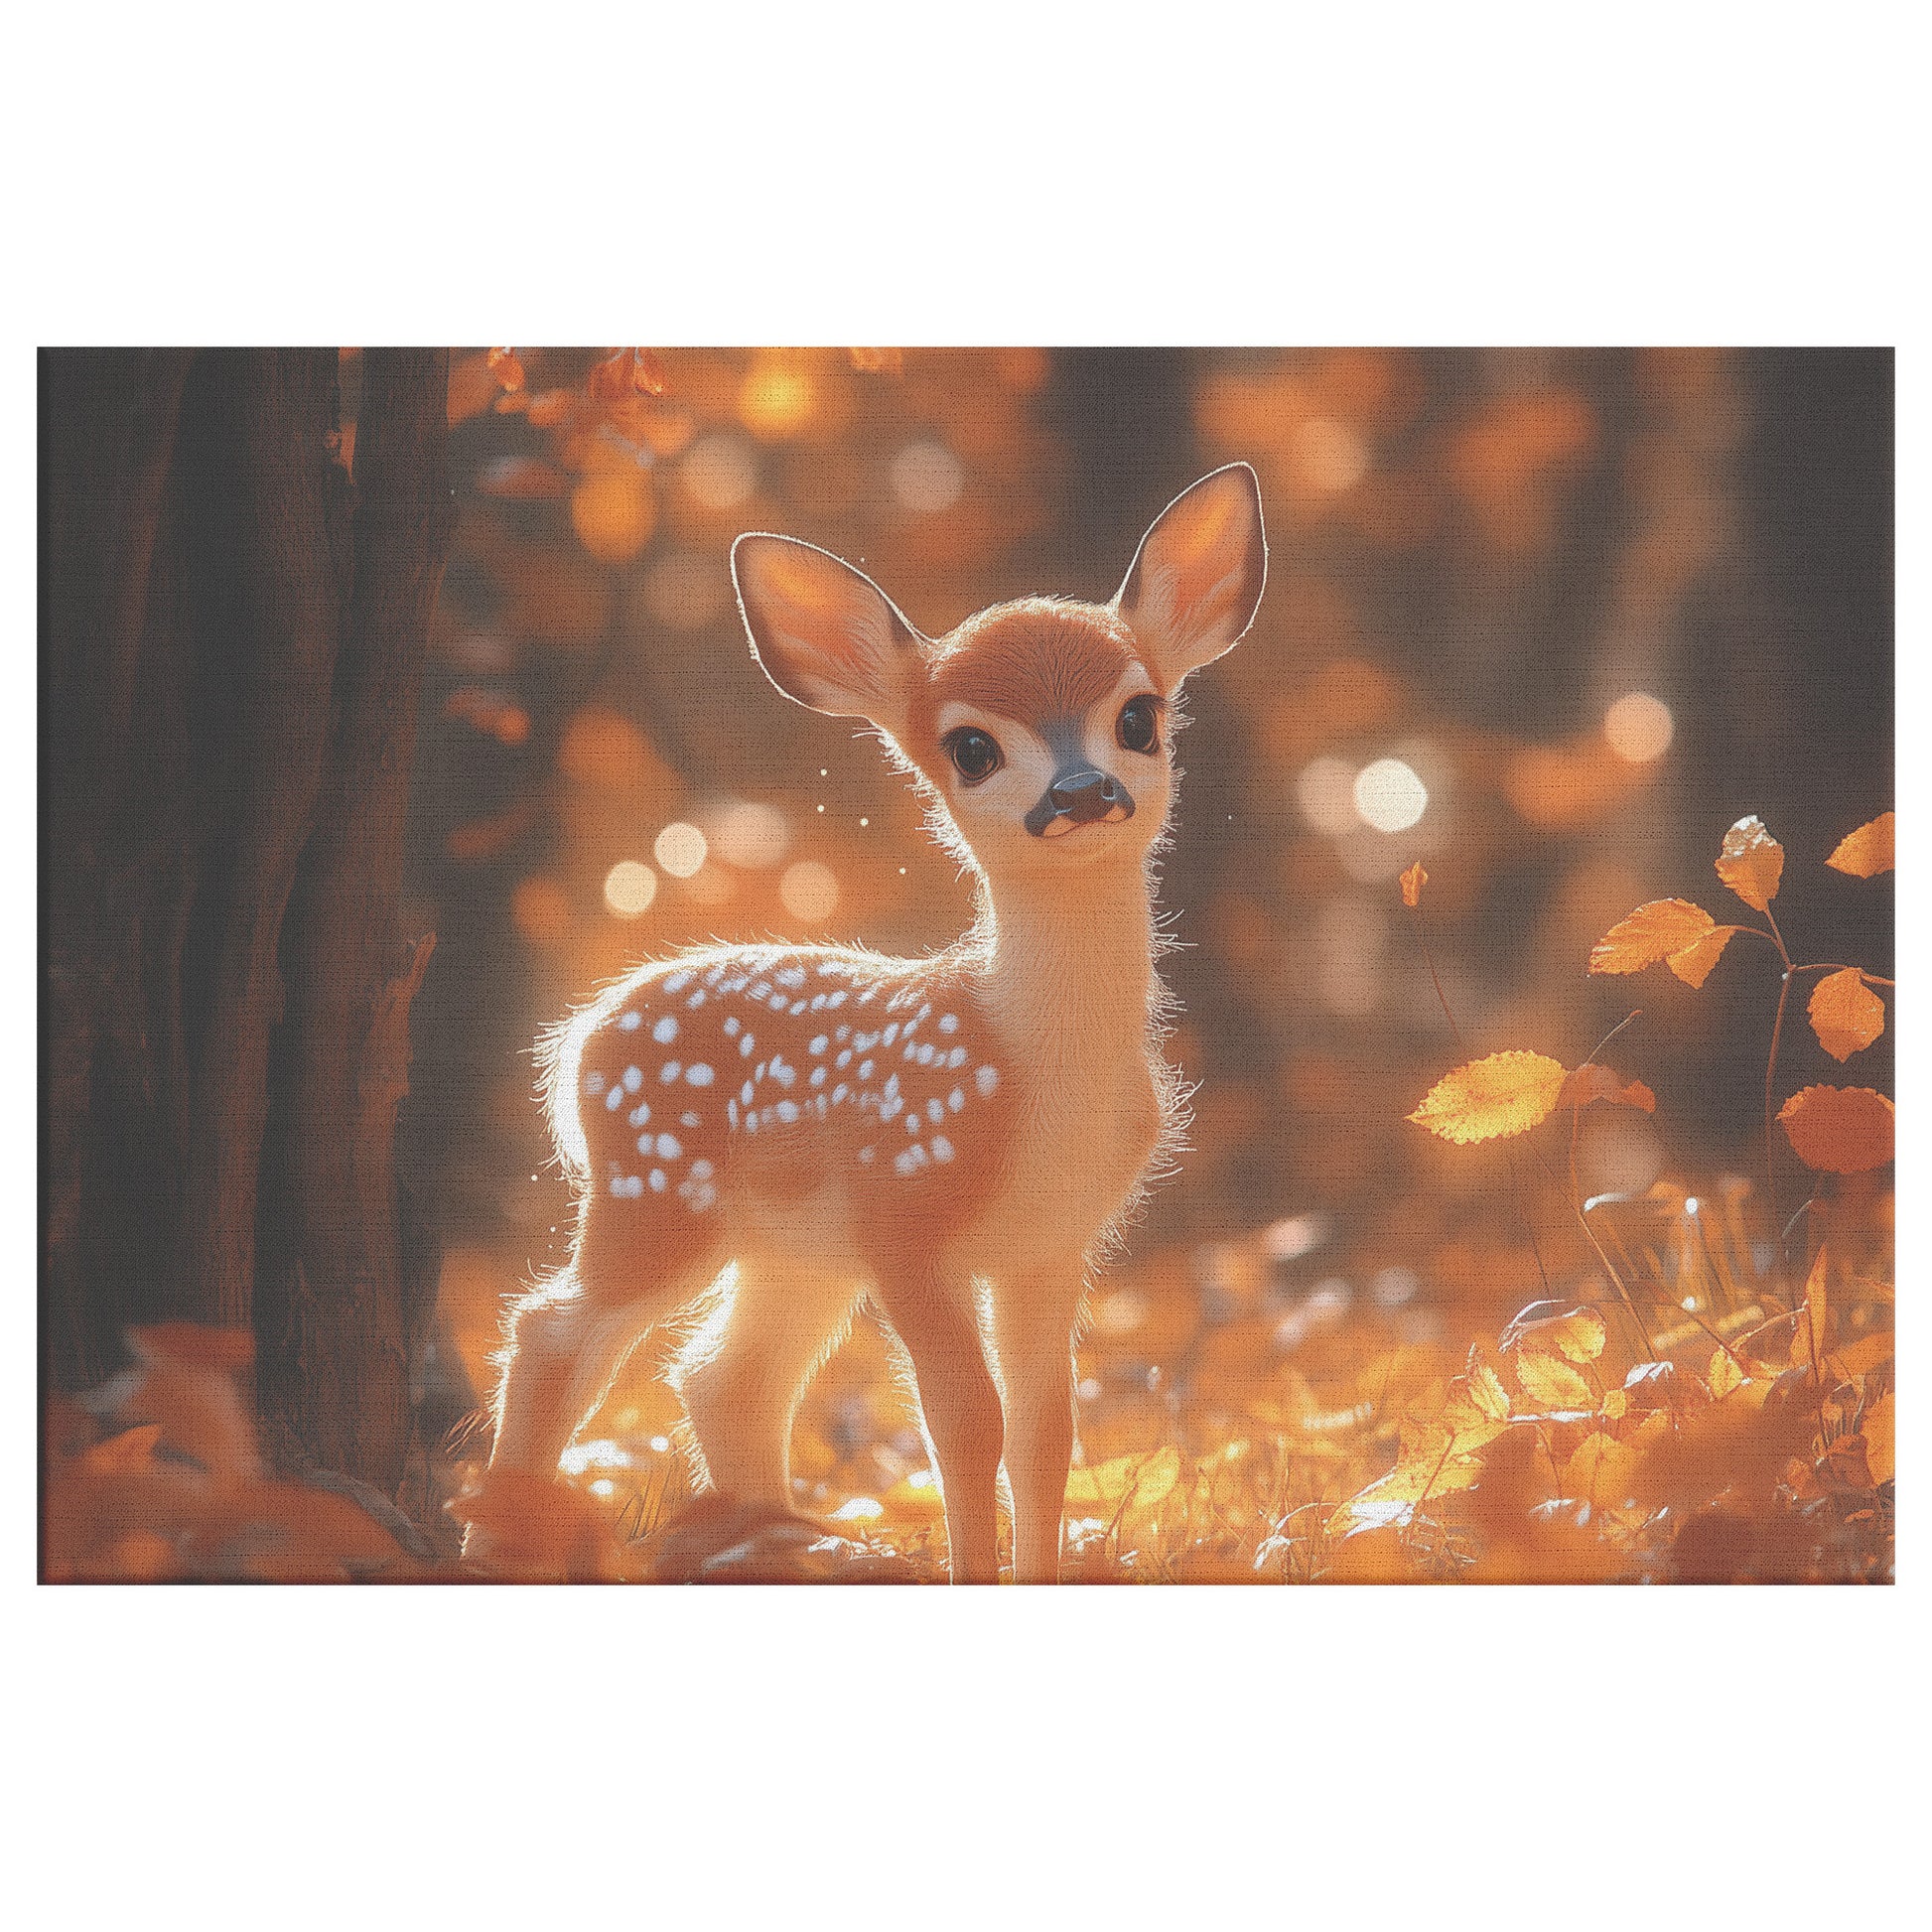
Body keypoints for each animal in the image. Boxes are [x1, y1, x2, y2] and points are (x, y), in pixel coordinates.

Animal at [466, 463, 1266, 1582]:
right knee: (554, 1330)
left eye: (1139, 717)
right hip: (657, 1191)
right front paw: (973, 1577)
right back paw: (495, 1542)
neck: (1032, 1065)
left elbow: (1047, 1431)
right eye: (970, 747)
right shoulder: (906, 1215)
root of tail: (579, 1037)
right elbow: (964, 1424)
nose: (1080, 792)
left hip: (790, 1247)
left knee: (724, 1375)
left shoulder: (1050, 1242)